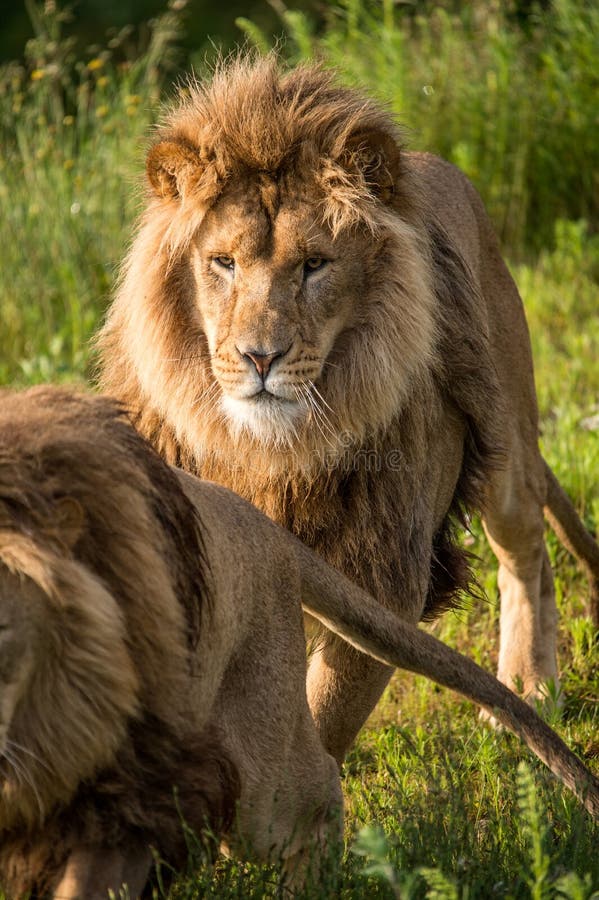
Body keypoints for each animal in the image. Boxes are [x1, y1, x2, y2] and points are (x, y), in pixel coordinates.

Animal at [97, 55, 599, 764]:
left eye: (314, 265)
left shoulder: (386, 571)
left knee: (525, 554)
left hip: (507, 454)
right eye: (222, 262)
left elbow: (325, 712)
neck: (274, 451)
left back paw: (528, 687)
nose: (259, 357)